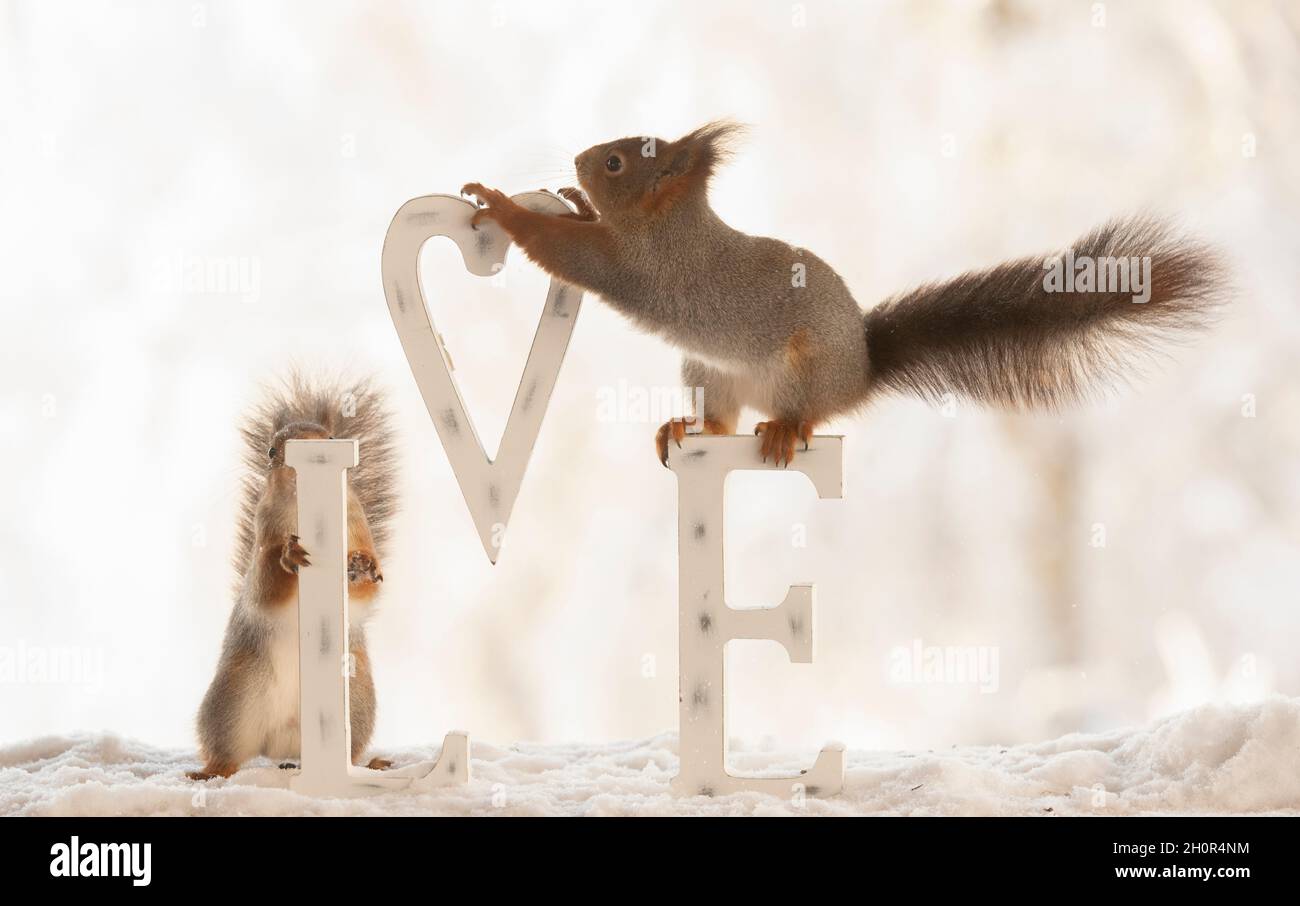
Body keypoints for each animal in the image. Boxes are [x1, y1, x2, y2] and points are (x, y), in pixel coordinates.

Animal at [189, 374, 397, 781]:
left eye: (331, 439)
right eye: (271, 451)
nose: (305, 455)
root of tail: (282, 744)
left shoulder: (357, 530)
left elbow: (365, 595)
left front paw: (362, 566)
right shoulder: (261, 553)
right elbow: (266, 588)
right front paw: (288, 556)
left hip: (356, 706)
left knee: (348, 754)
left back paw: (369, 765)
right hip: (232, 702)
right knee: (226, 751)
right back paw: (212, 771)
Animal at [461, 121, 1226, 466]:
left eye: (617, 162)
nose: (580, 160)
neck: (673, 222)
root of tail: (860, 372)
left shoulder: (643, 266)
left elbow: (569, 252)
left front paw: (503, 205)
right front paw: (566, 199)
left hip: (804, 370)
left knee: (804, 416)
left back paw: (784, 429)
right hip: (708, 369)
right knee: (722, 423)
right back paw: (685, 427)